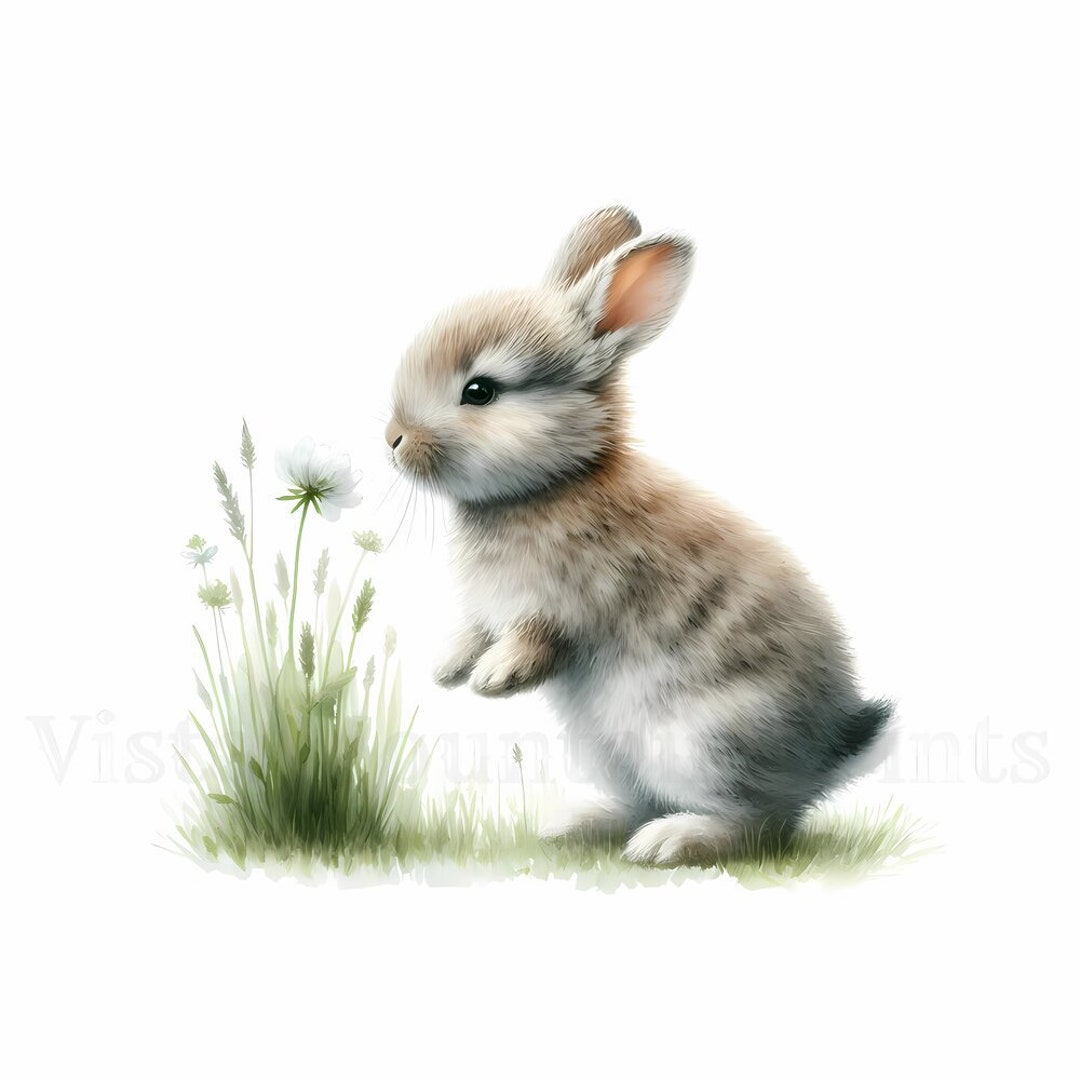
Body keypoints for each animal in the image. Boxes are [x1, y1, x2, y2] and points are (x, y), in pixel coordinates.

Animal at [384, 206, 893, 866]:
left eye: (480, 390)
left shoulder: (572, 601)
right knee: (652, 801)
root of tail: (824, 756)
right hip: (611, 752)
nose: (393, 439)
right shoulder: (488, 609)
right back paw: (579, 825)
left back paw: (672, 841)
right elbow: (471, 631)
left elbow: (536, 638)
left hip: (704, 744)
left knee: (763, 824)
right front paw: (447, 669)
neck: (548, 484)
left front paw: (496, 678)